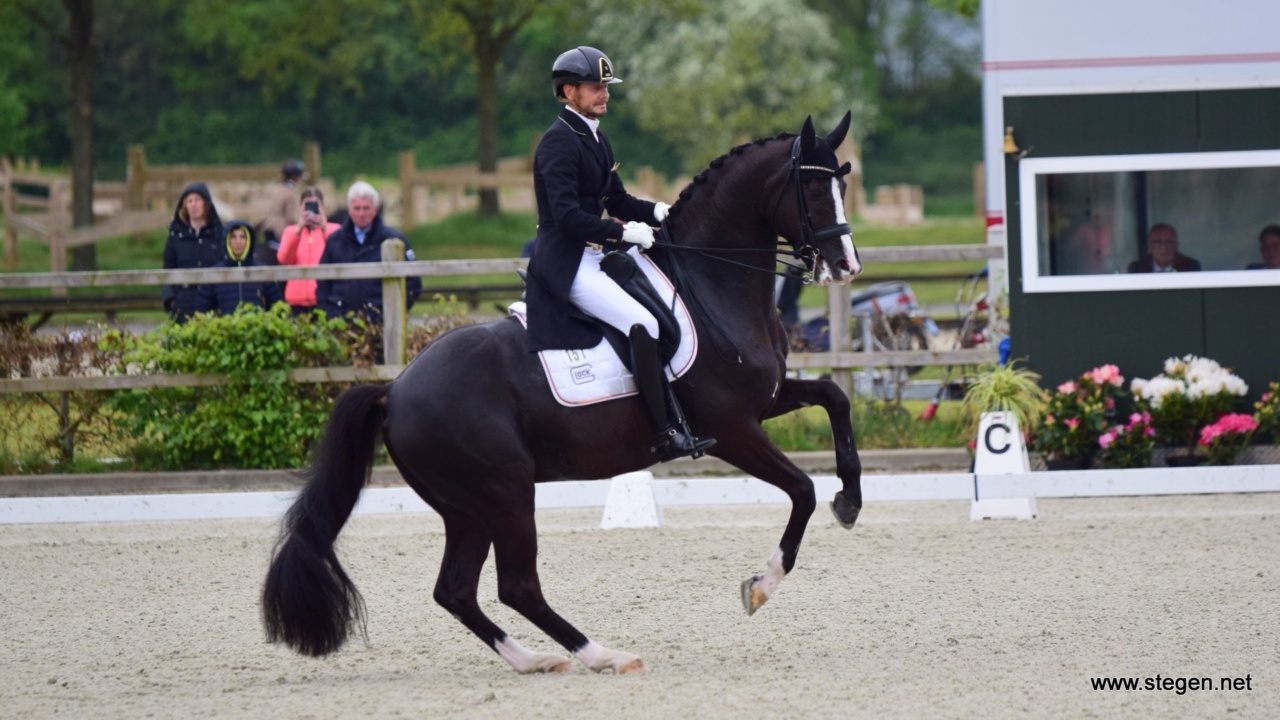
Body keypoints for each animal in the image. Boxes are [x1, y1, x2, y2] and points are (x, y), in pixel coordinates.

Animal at [262, 114, 866, 675]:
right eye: (814, 190)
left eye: (841, 182)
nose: (848, 266)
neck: (710, 284)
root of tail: (395, 389)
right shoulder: (734, 430)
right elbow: (802, 490)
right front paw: (761, 585)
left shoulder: (765, 402)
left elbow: (835, 397)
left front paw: (850, 501)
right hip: (505, 491)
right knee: (517, 586)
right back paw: (604, 655)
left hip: (467, 507)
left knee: (456, 590)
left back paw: (534, 660)